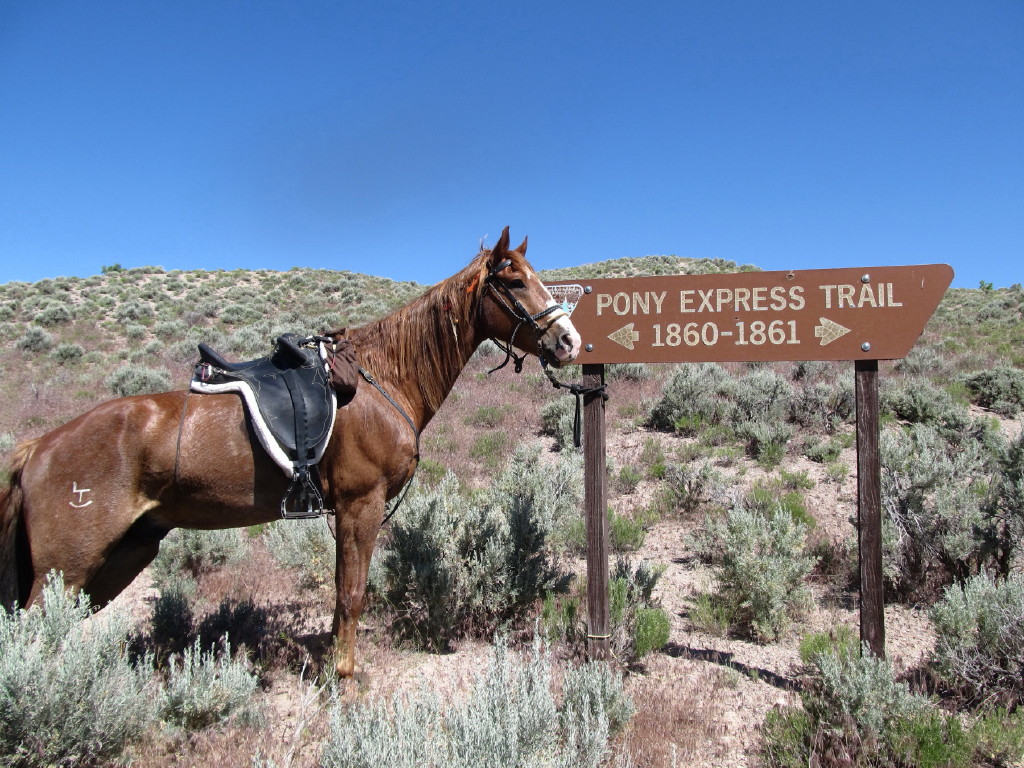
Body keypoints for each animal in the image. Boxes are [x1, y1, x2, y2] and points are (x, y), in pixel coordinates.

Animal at [0, 227, 582, 676]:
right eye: (514, 281)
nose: (569, 341)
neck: (380, 379)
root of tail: (37, 447)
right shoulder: (360, 505)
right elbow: (352, 594)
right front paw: (344, 680)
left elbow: (342, 593)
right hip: (68, 569)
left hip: (120, 556)